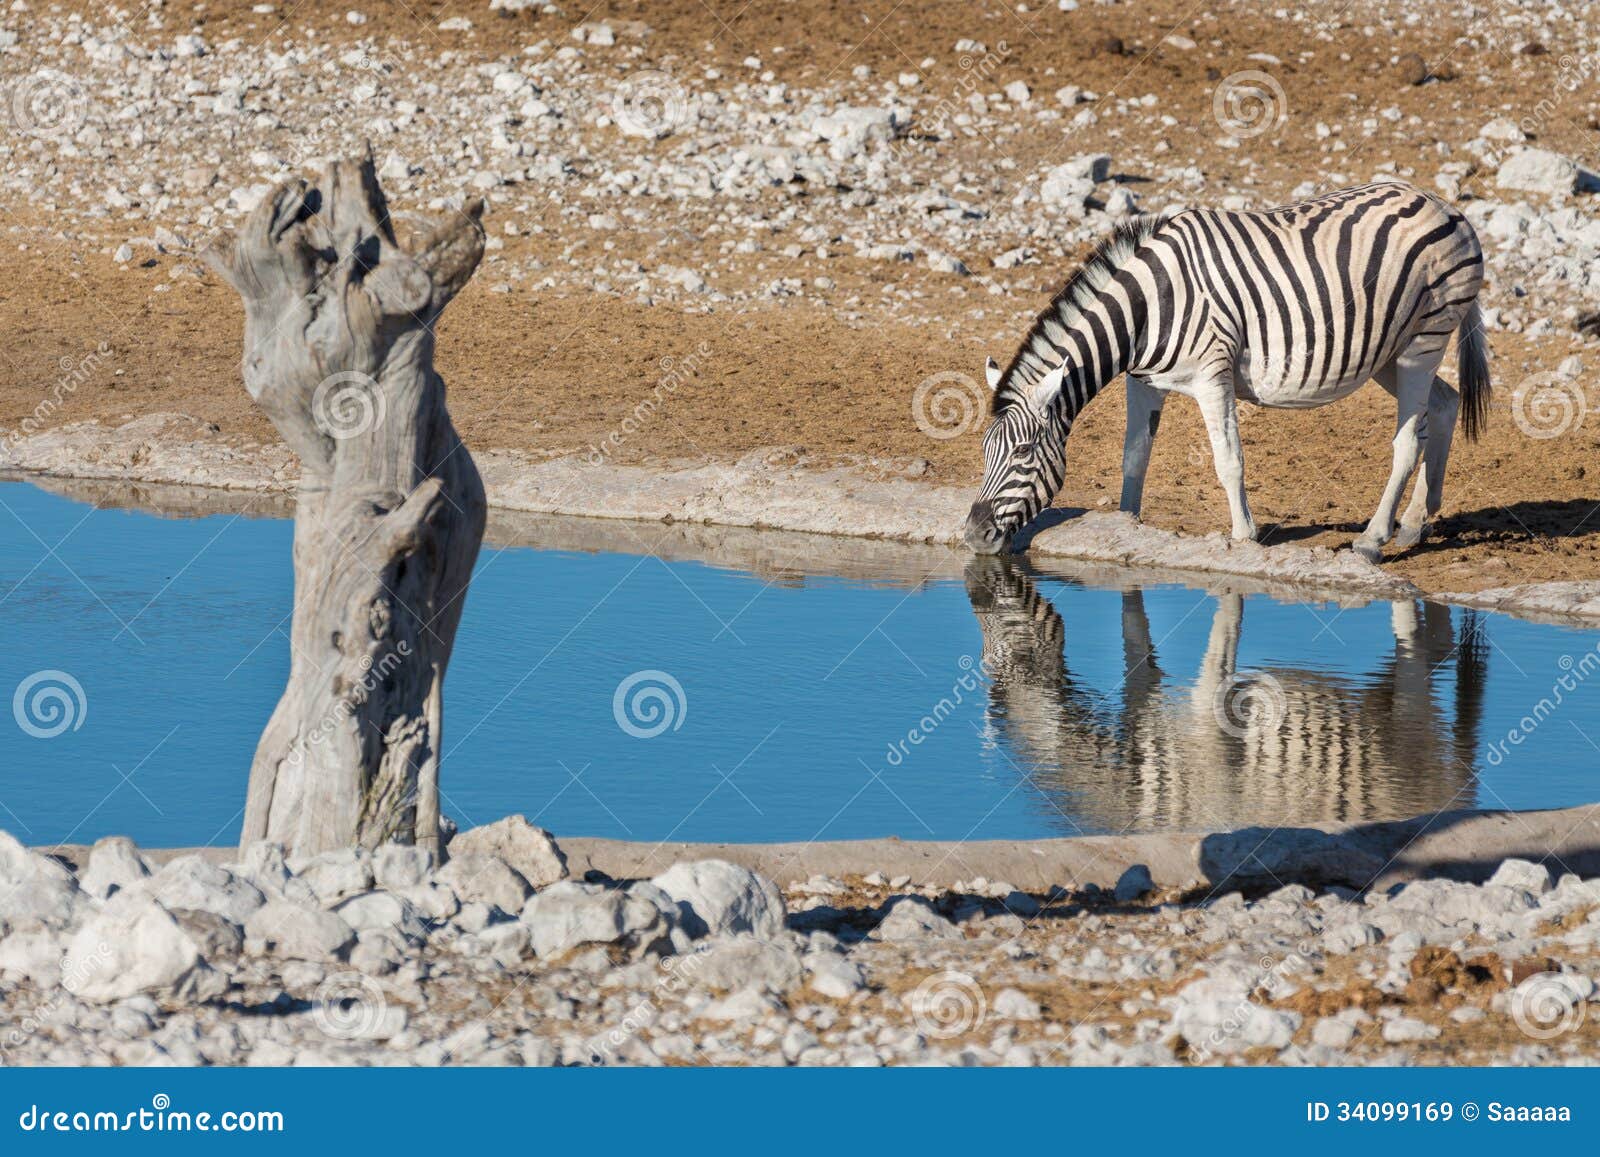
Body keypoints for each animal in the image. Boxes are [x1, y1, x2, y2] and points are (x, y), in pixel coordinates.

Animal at [963, 183, 1491, 562]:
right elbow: (1134, 459)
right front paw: (1125, 527)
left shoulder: (1212, 374)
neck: (1146, 309)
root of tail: (1447, 208)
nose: (973, 536)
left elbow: (1228, 460)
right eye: (984, 451)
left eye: (1024, 453)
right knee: (1445, 403)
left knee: (1408, 441)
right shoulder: (1142, 382)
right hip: (1387, 351)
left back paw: (1373, 539)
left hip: (1424, 340)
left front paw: (1243, 535)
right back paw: (1417, 522)